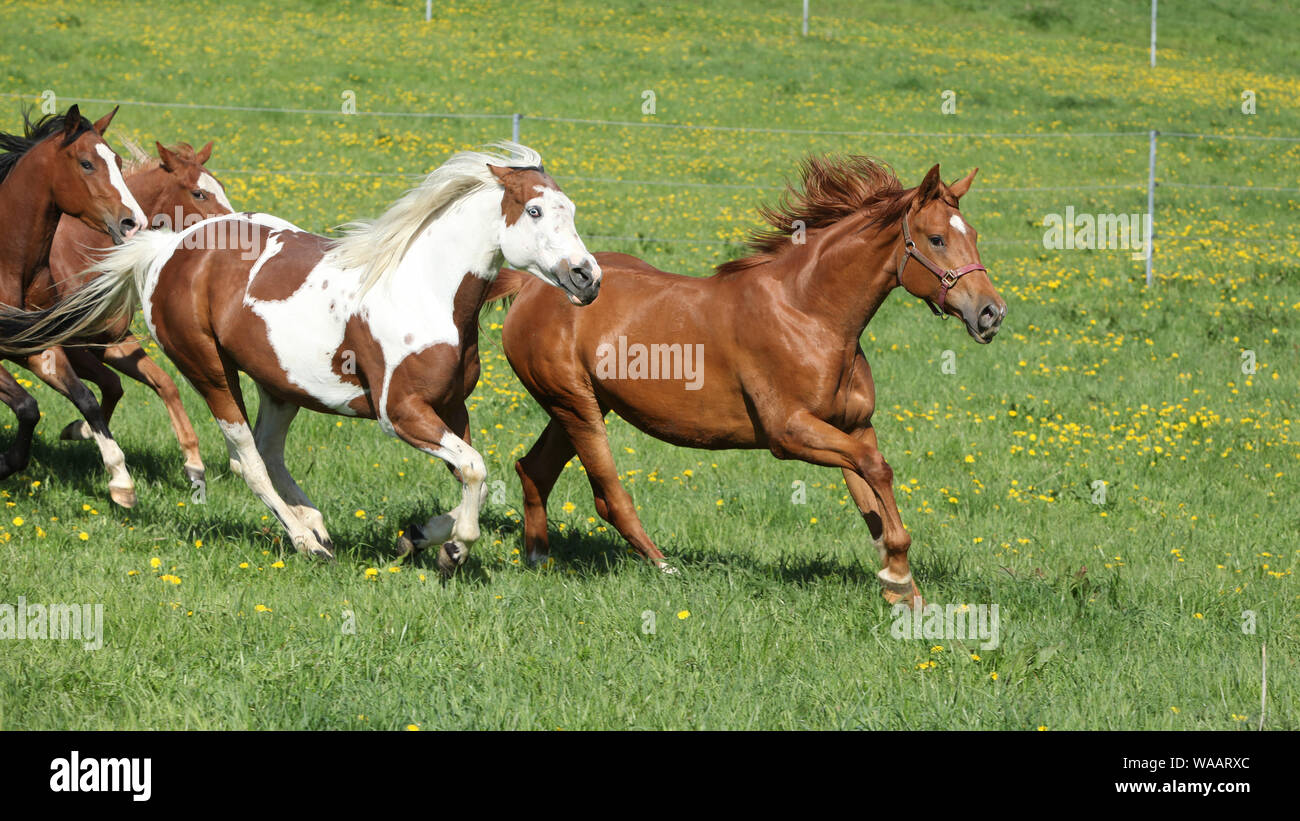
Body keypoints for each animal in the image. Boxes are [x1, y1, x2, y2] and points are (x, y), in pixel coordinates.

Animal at [0, 105, 147, 502]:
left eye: (117, 160)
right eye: (86, 164)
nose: (134, 223)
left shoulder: (37, 347)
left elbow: (84, 399)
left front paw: (120, 481)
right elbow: (27, 405)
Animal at [23, 138, 233, 487]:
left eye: (221, 187)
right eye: (198, 193)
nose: (235, 229)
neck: (82, 254)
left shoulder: (111, 340)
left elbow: (160, 383)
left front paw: (193, 464)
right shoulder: (69, 345)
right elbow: (106, 385)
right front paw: (86, 433)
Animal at [484, 156, 1006, 604]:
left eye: (976, 234)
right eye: (936, 239)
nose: (991, 313)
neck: (809, 312)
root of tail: (532, 285)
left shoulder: (854, 427)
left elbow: (871, 496)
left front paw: (902, 589)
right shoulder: (789, 433)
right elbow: (876, 469)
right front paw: (897, 575)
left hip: (578, 406)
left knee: (534, 469)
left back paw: (539, 559)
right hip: (577, 406)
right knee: (608, 495)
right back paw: (664, 566)